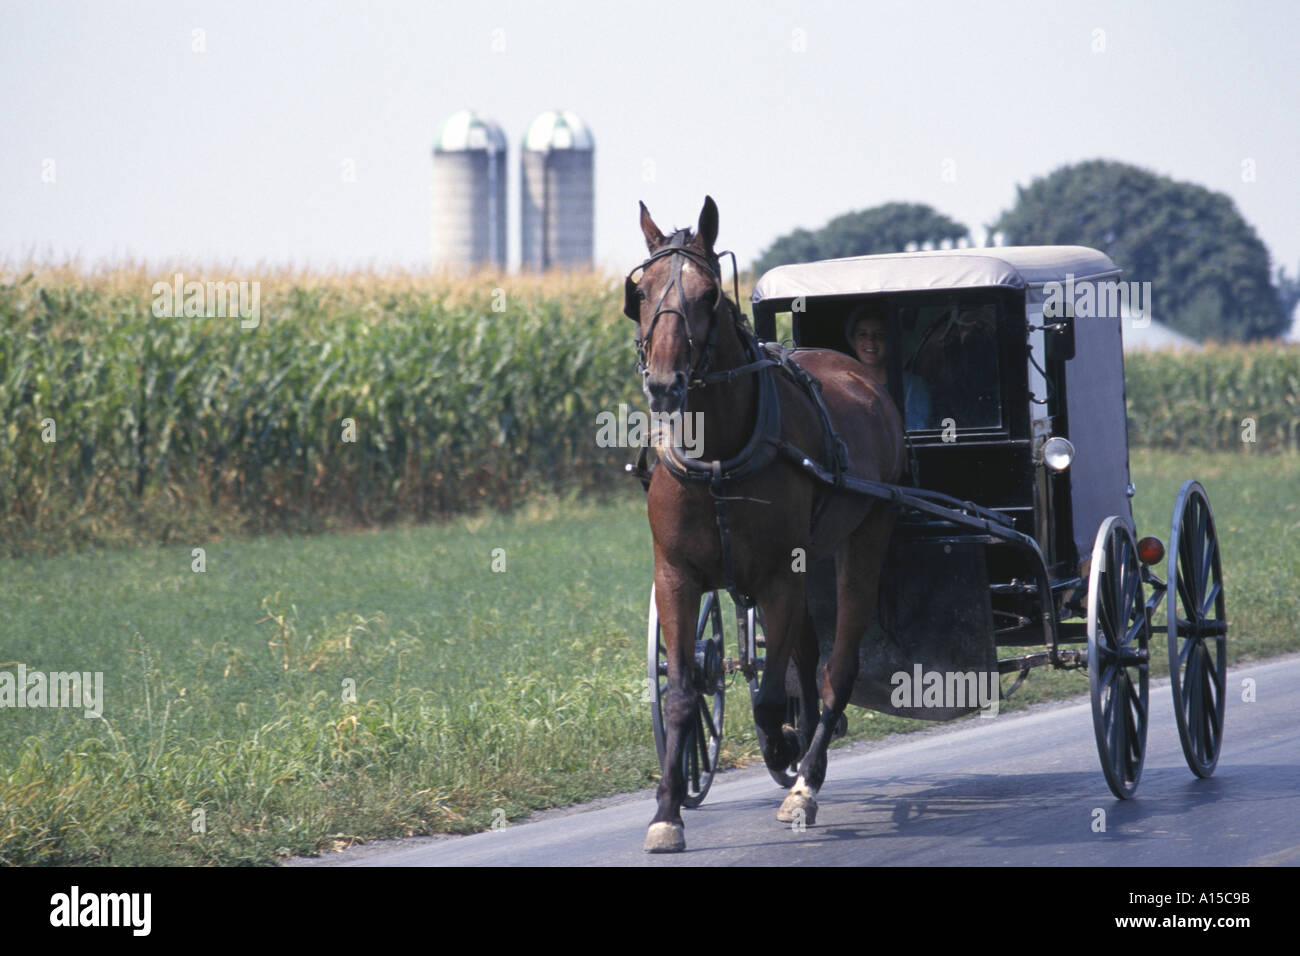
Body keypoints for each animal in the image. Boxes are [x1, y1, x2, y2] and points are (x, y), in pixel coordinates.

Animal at [626, 196, 905, 853]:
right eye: (640, 292)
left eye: (708, 294)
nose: (664, 384)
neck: (718, 456)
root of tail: (862, 378)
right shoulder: (676, 577)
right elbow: (682, 693)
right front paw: (667, 811)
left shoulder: (781, 576)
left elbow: (771, 696)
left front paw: (782, 749)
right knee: (806, 653)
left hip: (864, 540)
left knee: (834, 669)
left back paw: (804, 777)